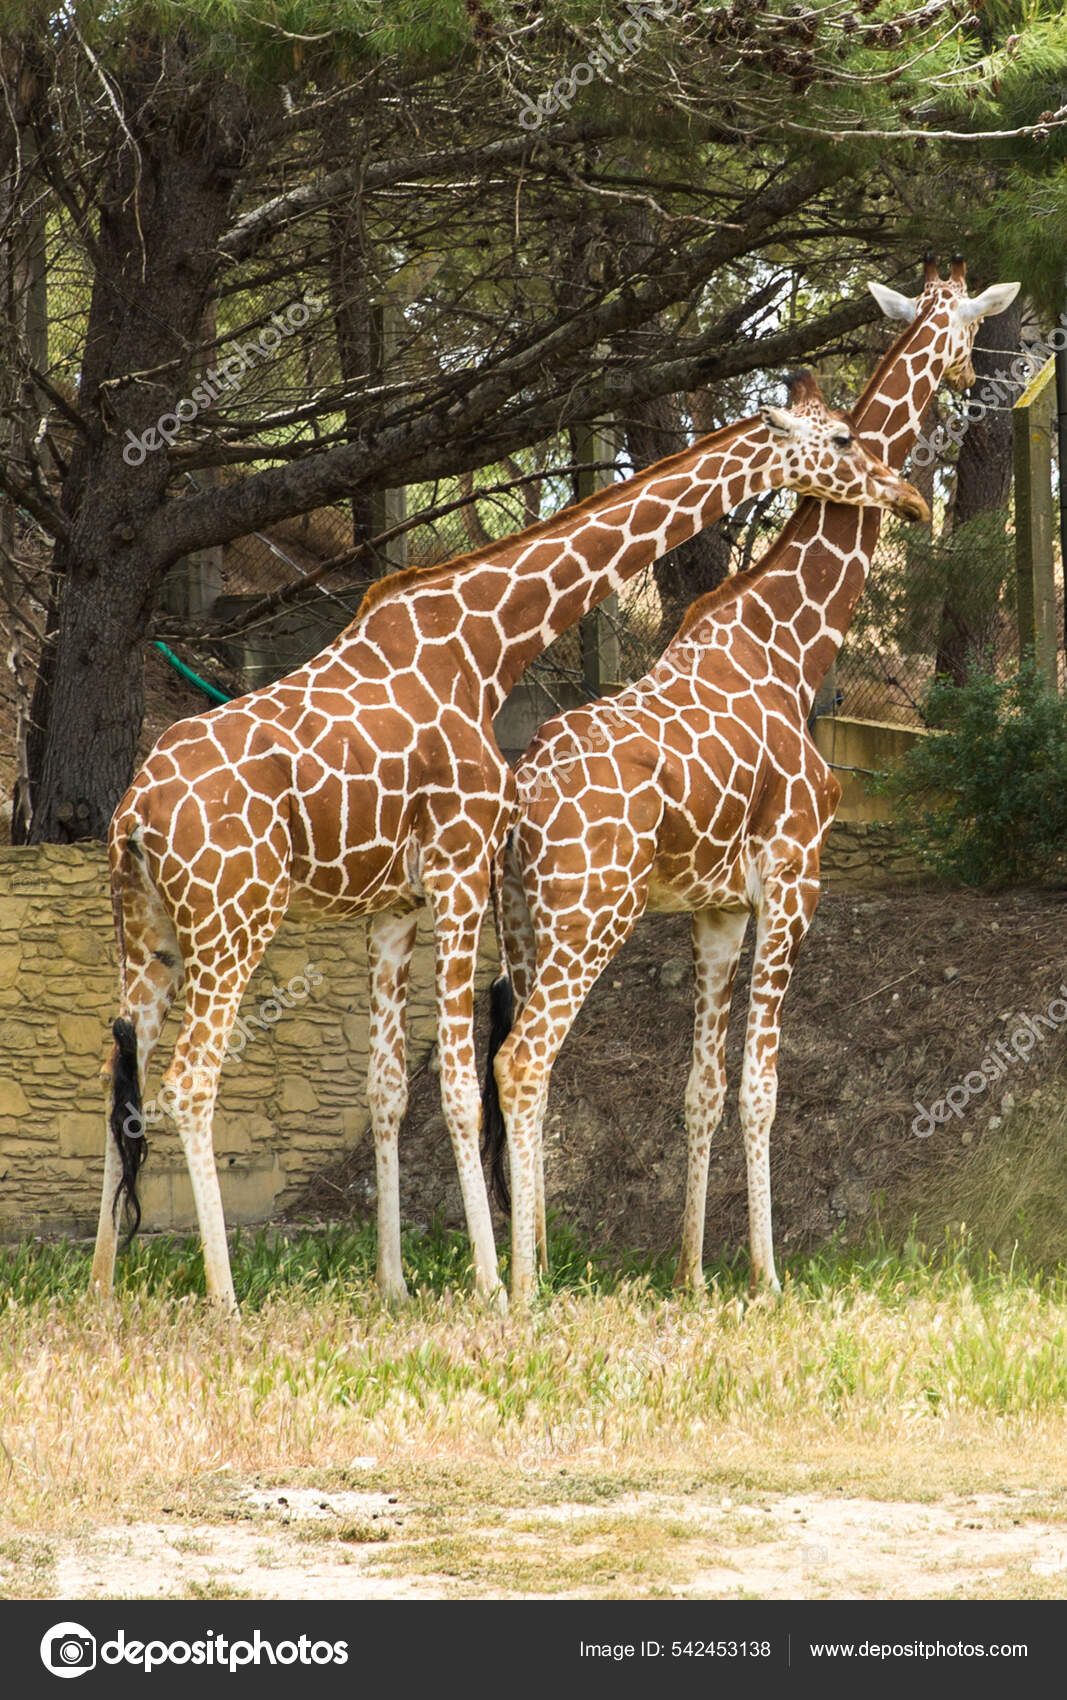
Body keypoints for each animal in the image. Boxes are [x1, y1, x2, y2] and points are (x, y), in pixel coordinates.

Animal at [91, 357, 927, 1315]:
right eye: (841, 439)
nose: (908, 496)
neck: (486, 645)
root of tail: (133, 814)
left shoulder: (398, 902)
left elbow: (387, 1087)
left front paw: (397, 1287)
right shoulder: (459, 866)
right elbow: (460, 1081)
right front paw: (492, 1284)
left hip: (146, 932)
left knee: (117, 1073)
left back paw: (102, 1286)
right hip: (236, 919)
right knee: (192, 1081)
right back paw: (226, 1299)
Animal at [483, 256, 1020, 1302]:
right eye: (972, 330)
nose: (912, 500)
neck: (792, 645)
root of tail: (521, 805)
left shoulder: (717, 910)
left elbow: (698, 1089)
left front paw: (692, 1273)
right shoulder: (794, 878)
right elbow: (763, 1089)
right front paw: (766, 1276)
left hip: (520, 922)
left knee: (513, 1065)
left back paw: (538, 1266)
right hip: (589, 915)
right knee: (522, 1062)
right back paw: (523, 1292)